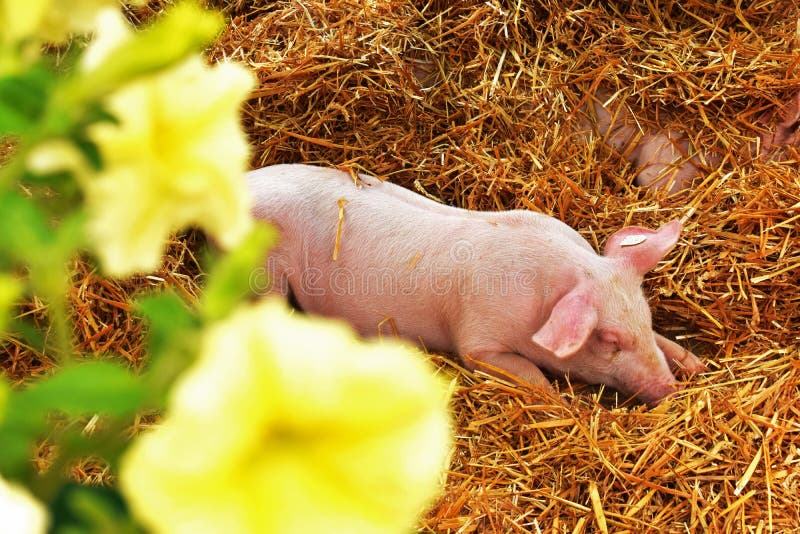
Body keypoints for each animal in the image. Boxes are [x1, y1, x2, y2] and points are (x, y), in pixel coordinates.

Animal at [247, 164, 706, 406]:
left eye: (646, 319)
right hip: (266, 272)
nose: (668, 388)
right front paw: (562, 403)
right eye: (609, 340)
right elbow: (528, 375)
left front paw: (696, 365)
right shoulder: (479, 342)